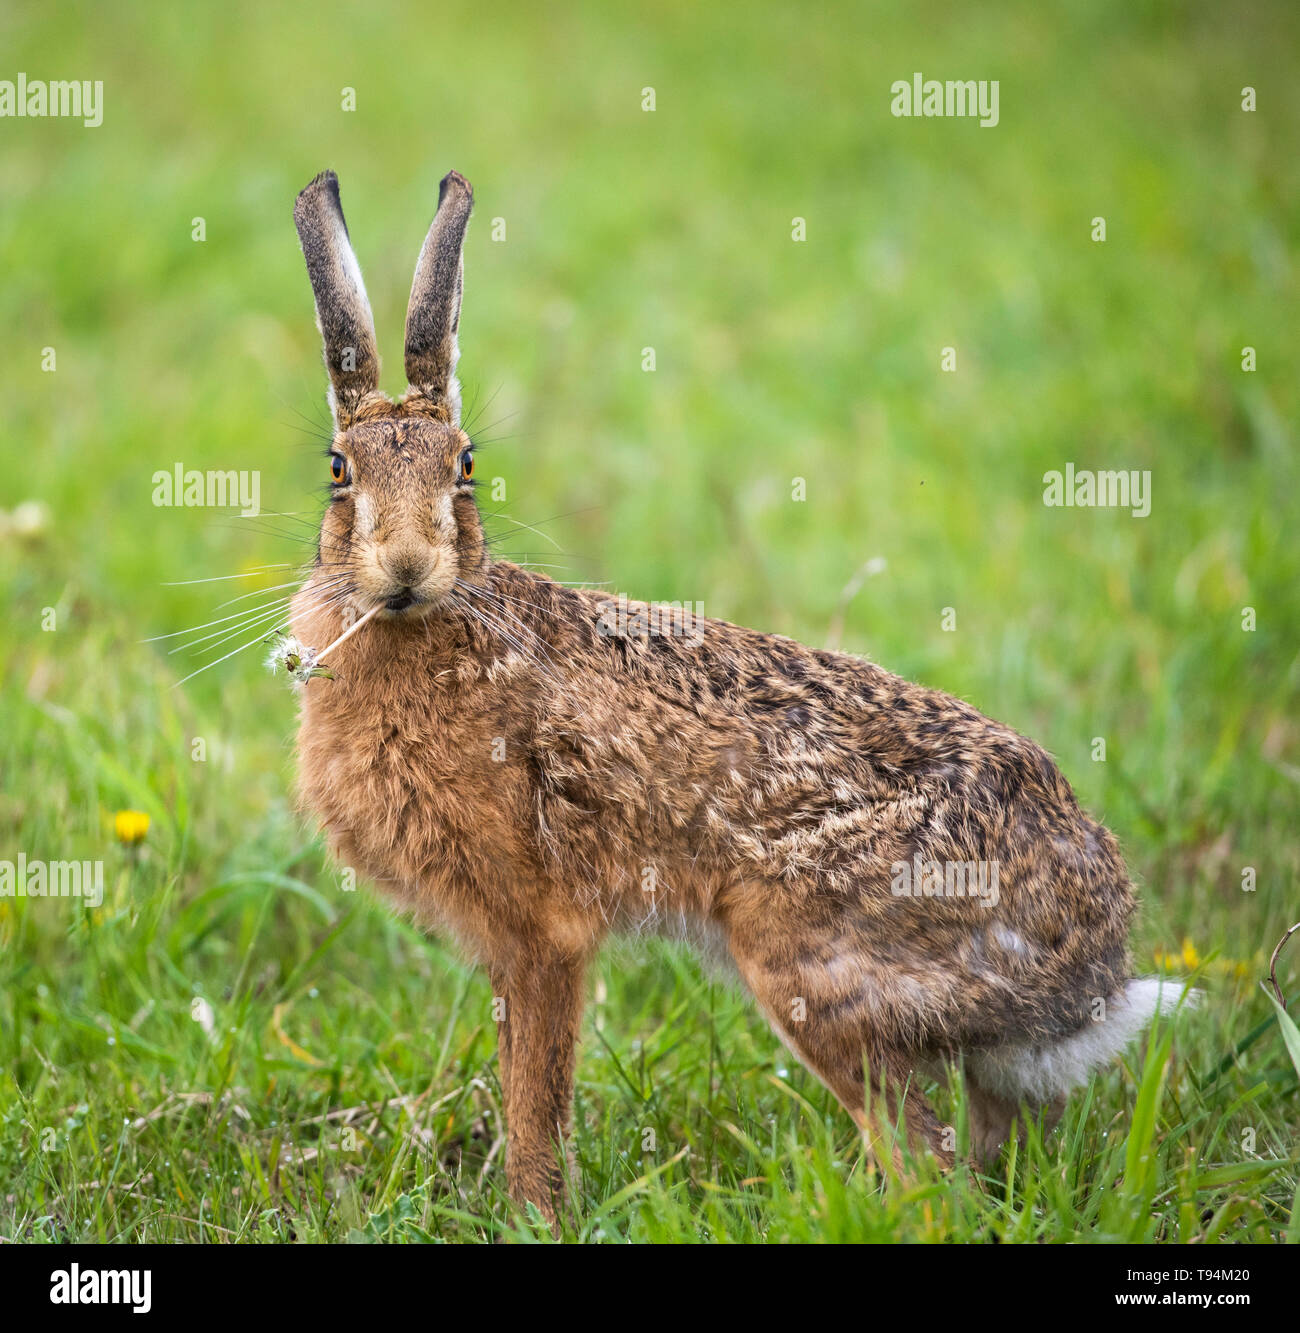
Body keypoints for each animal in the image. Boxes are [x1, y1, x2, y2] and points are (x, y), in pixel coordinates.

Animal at [287, 169, 1190, 1226]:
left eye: (465, 467)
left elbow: (534, 1097)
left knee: (928, 1171)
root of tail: (1093, 963)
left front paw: (537, 1215)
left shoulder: (543, 937)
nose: (405, 568)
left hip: (804, 959)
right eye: (338, 471)